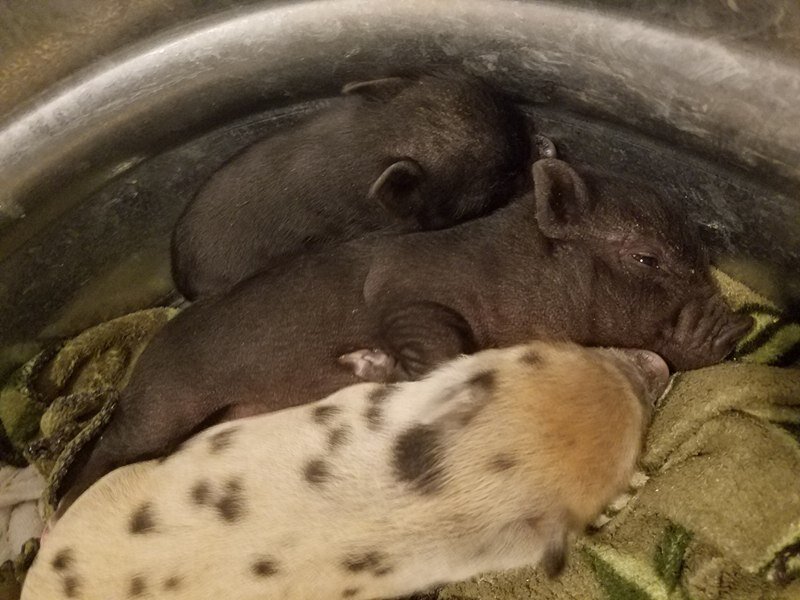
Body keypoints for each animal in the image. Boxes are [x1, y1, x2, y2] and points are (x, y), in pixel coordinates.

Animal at [56, 157, 751, 515]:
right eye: (645, 259)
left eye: (701, 258)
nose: (741, 327)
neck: (519, 284)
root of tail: (141, 363)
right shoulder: (407, 296)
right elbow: (433, 346)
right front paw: (374, 363)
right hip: (164, 404)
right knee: (107, 450)